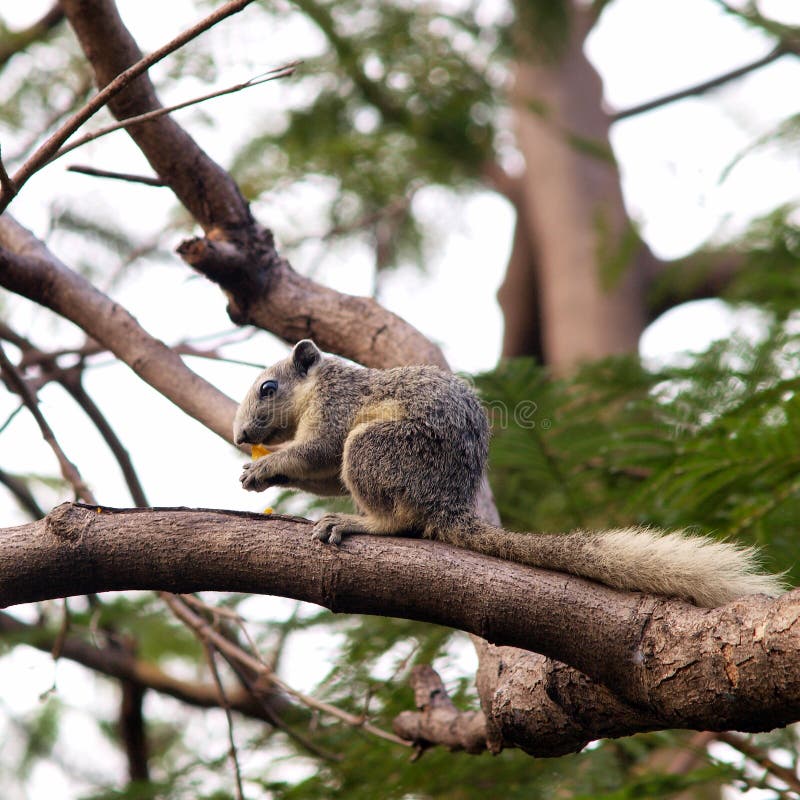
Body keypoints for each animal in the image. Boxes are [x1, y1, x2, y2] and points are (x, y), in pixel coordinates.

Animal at [233, 339, 784, 608]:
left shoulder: (336, 411)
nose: (240, 435)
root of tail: (448, 503)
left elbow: (319, 451)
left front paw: (265, 465)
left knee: (400, 520)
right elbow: (324, 474)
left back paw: (358, 523)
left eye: (267, 388)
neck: (318, 387)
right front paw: (258, 473)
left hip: (377, 449)